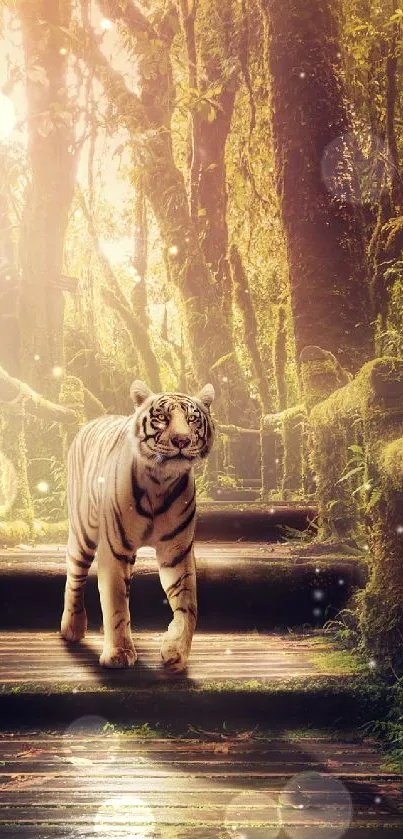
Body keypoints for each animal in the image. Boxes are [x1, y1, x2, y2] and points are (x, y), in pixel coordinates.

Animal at [60, 379, 215, 672]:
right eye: (162, 418)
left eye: (192, 419)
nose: (182, 441)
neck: (161, 482)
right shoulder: (115, 550)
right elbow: (116, 602)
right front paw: (119, 654)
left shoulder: (177, 552)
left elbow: (189, 605)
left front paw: (176, 652)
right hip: (83, 534)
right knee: (75, 576)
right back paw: (72, 628)